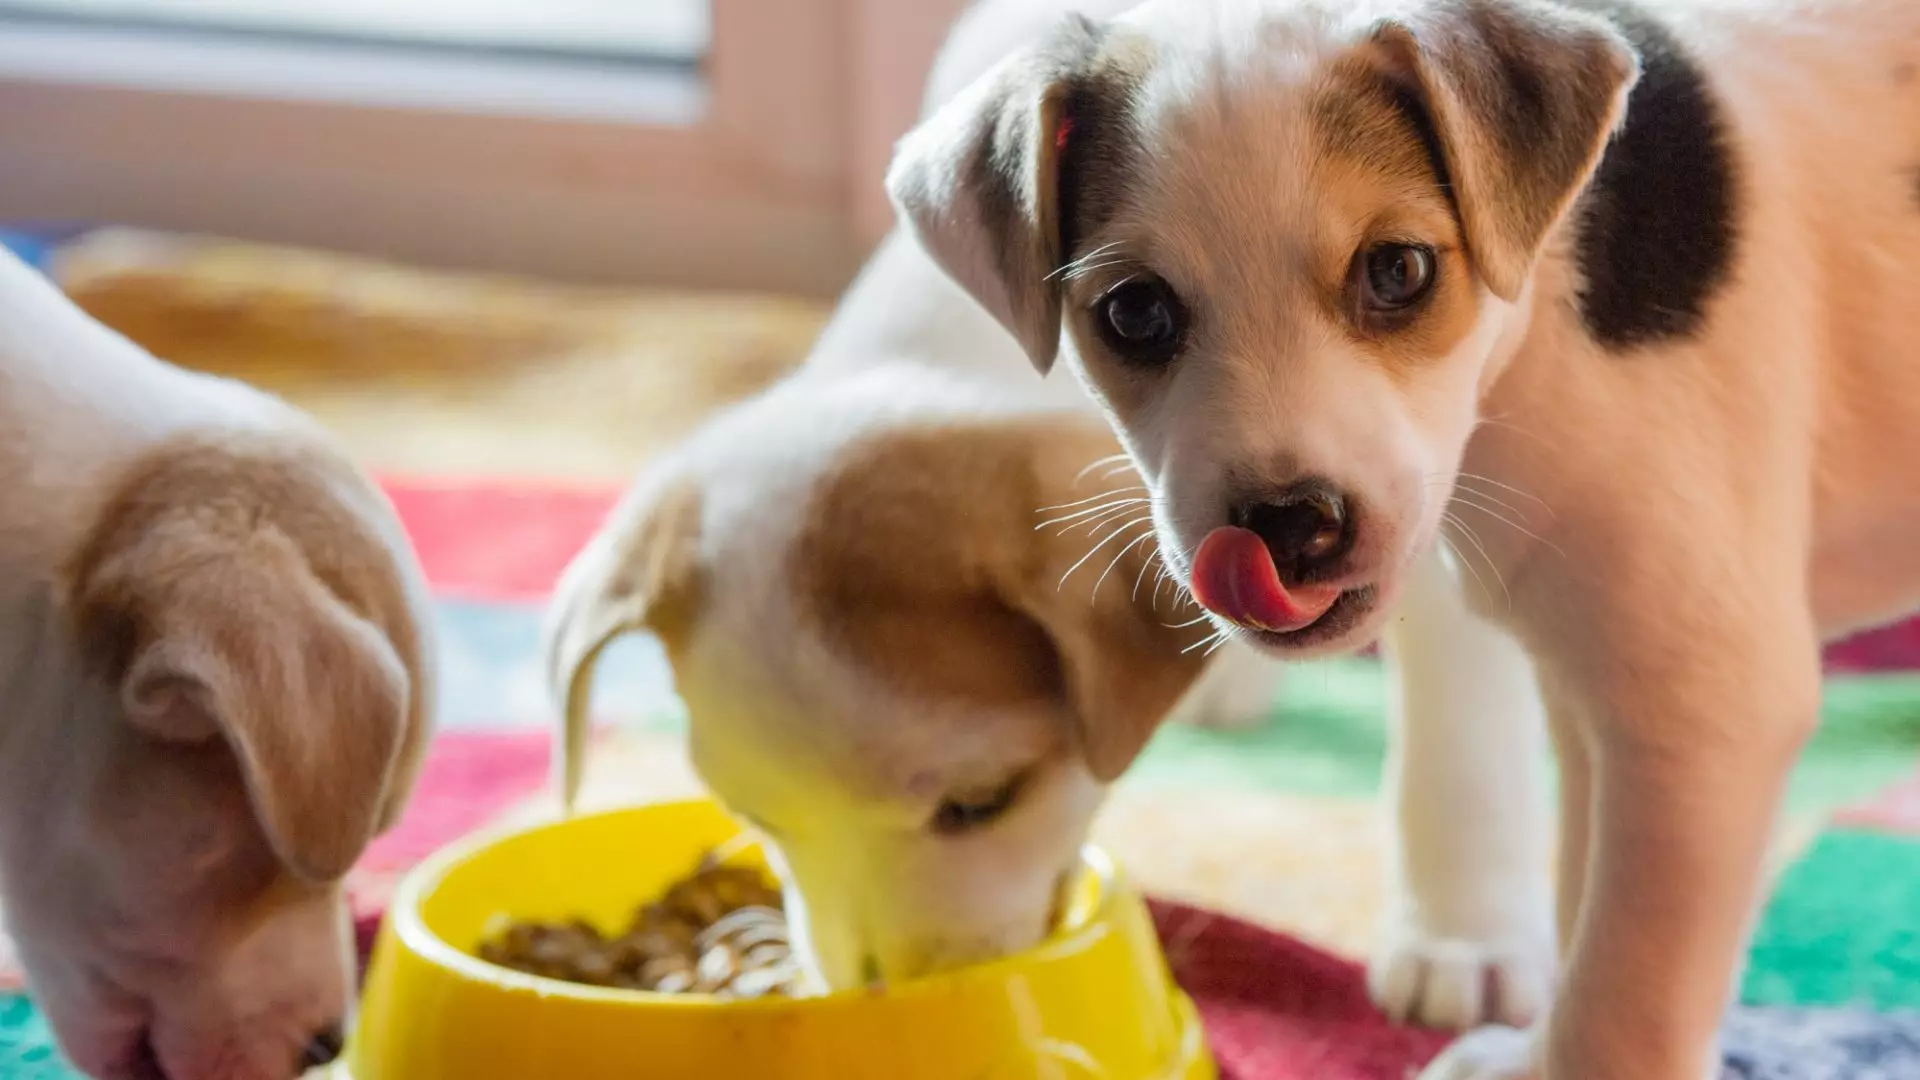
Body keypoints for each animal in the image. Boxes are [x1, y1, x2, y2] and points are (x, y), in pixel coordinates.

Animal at [890, 0, 1920, 1068]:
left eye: (1399, 270)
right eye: (1134, 311)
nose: (1290, 526)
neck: (1539, 337)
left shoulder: (1706, 709)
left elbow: (1625, 989)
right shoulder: (1599, 689)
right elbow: (1582, 899)